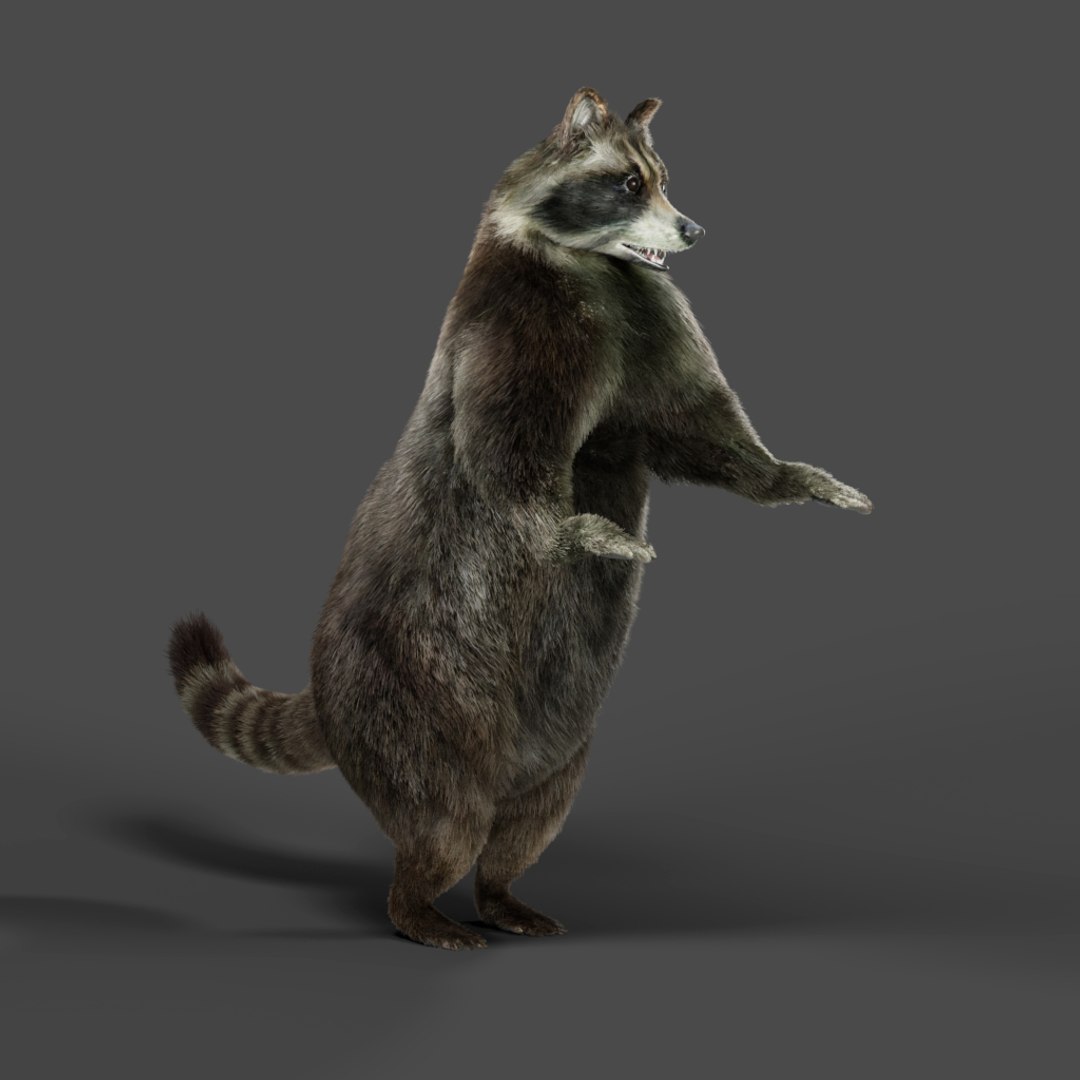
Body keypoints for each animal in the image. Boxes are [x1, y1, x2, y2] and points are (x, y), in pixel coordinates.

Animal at [169, 87, 872, 950]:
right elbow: (504, 454)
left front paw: (783, 477)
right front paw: (571, 530)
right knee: (445, 819)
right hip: (415, 699)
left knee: (526, 821)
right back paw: (418, 908)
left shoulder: (648, 325)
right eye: (628, 185)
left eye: (663, 179)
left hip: (557, 747)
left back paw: (502, 896)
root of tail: (328, 698)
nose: (694, 230)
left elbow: (693, 432)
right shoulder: (514, 327)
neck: (600, 265)